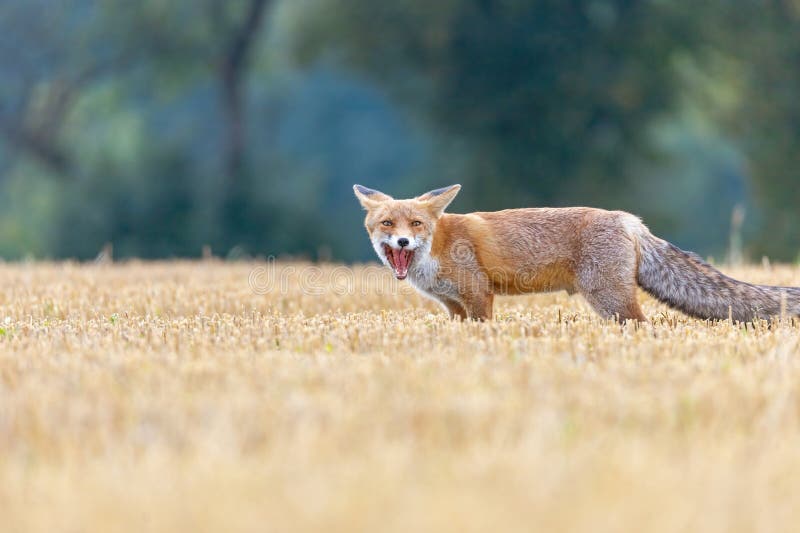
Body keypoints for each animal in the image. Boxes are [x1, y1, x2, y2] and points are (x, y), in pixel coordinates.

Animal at [354, 183, 800, 322]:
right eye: (387, 224)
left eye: (416, 225)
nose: (403, 244)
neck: (439, 247)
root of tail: (630, 219)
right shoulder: (453, 306)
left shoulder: (479, 294)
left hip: (609, 299)